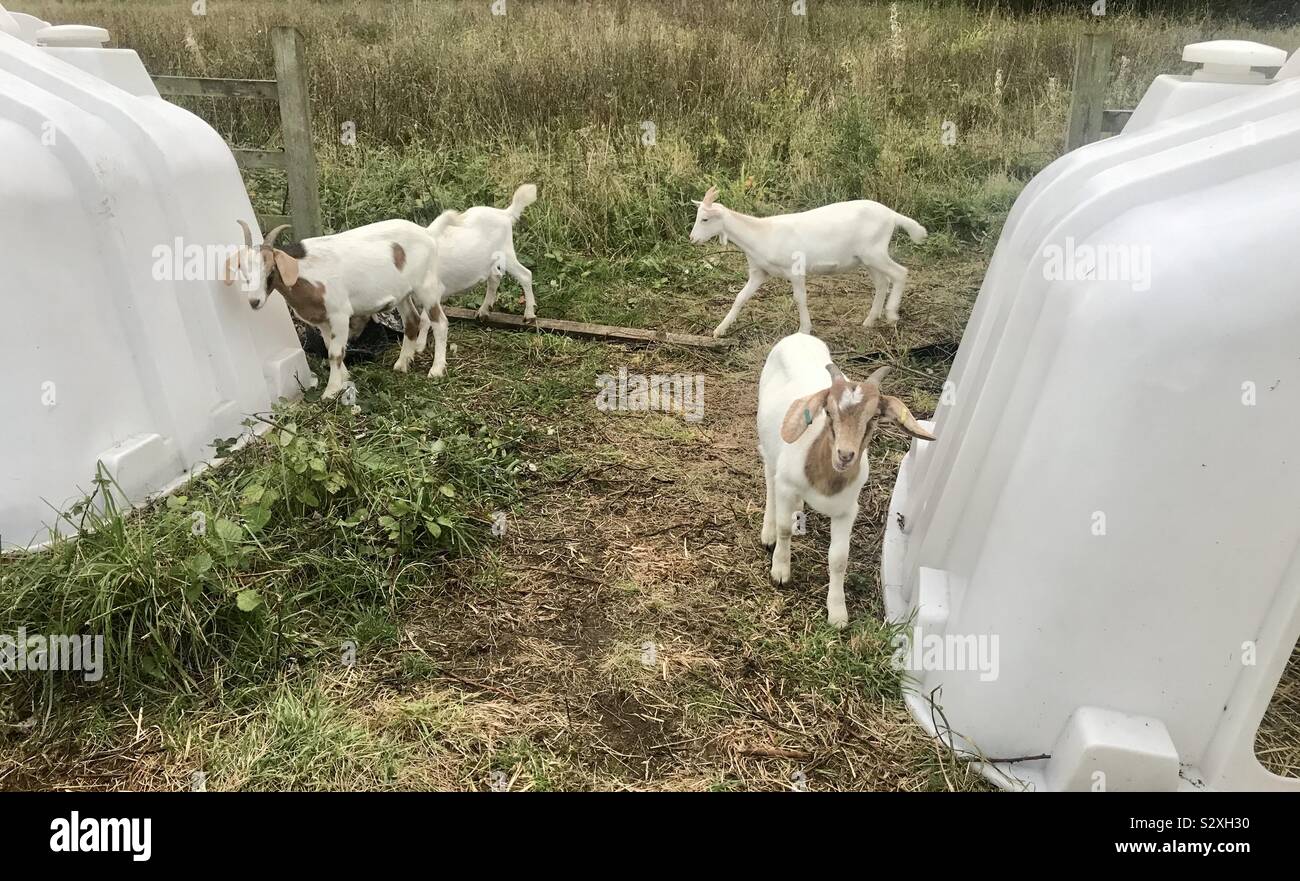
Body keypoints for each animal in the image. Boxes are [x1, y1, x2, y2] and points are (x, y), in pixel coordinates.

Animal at [224, 212, 459, 399]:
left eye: (271, 270)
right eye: (243, 271)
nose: (254, 301)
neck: (304, 273)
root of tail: (427, 233)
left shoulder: (339, 314)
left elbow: (335, 352)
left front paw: (330, 390)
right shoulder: (322, 321)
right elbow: (331, 348)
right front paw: (343, 378)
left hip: (426, 286)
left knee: (440, 322)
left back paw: (436, 369)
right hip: (403, 293)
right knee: (412, 321)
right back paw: (402, 364)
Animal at [426, 183, 538, 322]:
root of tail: (504, 213)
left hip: (505, 252)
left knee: (525, 275)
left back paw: (529, 315)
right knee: (495, 277)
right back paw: (483, 312)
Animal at [689, 186, 927, 337]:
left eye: (705, 219)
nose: (692, 239)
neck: (762, 234)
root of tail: (892, 215)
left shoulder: (795, 269)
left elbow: (799, 298)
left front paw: (804, 329)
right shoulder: (759, 272)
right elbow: (740, 297)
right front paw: (720, 330)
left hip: (874, 252)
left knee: (900, 272)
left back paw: (892, 314)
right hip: (868, 258)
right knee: (882, 282)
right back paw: (870, 320)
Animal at [757, 333, 935, 628]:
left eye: (874, 417)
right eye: (828, 411)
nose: (845, 455)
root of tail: (800, 334)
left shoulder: (847, 510)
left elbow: (839, 558)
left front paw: (838, 613)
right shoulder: (787, 485)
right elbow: (784, 529)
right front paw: (780, 571)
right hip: (769, 445)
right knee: (769, 478)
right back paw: (768, 532)